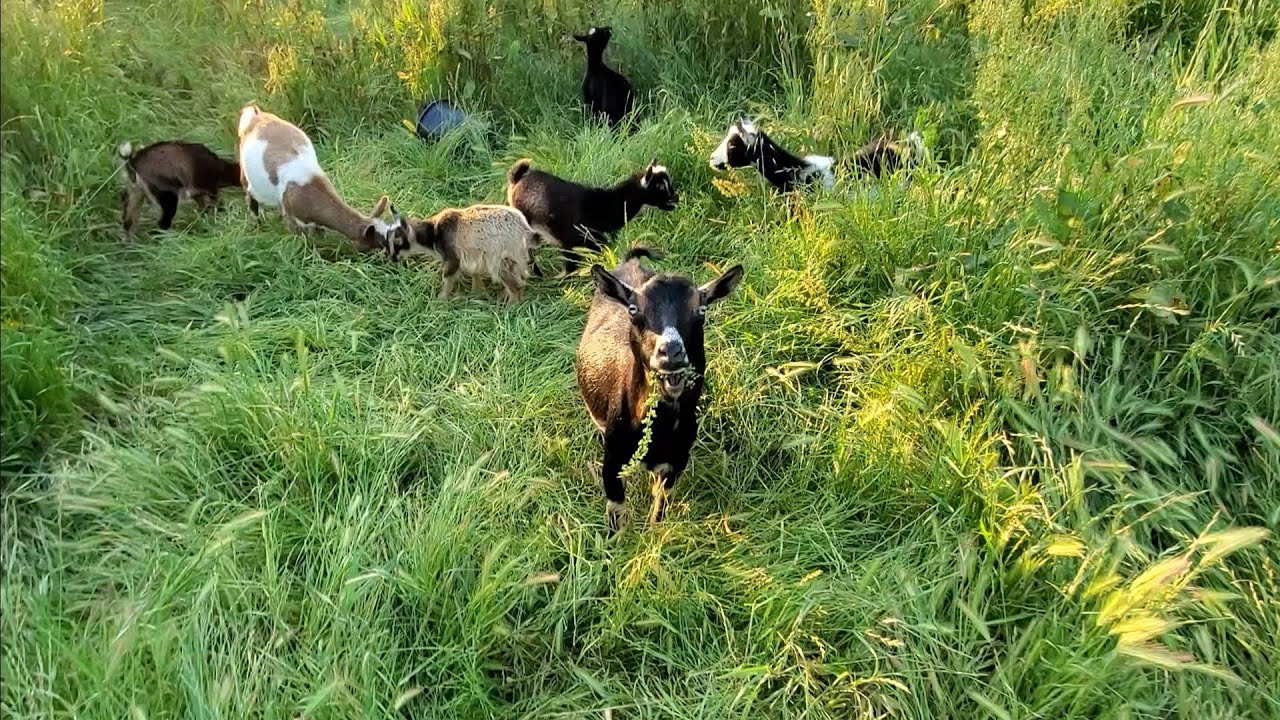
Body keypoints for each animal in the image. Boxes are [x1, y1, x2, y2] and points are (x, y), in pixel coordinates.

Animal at [236, 103, 404, 252]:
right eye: (376, 244)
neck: (309, 185)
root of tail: (255, 114)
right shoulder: (291, 217)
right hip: (245, 176)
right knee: (250, 199)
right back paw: (258, 225)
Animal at [386, 204, 536, 303]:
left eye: (398, 241)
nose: (392, 258)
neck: (434, 233)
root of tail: (525, 230)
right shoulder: (474, 256)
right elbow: (475, 274)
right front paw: (476, 293)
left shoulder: (453, 257)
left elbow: (447, 276)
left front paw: (441, 300)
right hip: (516, 258)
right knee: (521, 277)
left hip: (501, 259)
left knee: (516, 284)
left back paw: (510, 308)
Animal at [506, 157, 678, 276]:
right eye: (660, 187)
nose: (676, 198)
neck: (607, 205)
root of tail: (518, 178)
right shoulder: (571, 242)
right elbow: (570, 267)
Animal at [577, 247, 744, 532]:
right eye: (634, 309)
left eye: (701, 309)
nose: (671, 351)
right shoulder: (613, 460)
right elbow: (616, 512)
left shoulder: (675, 460)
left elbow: (660, 504)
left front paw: (653, 532)